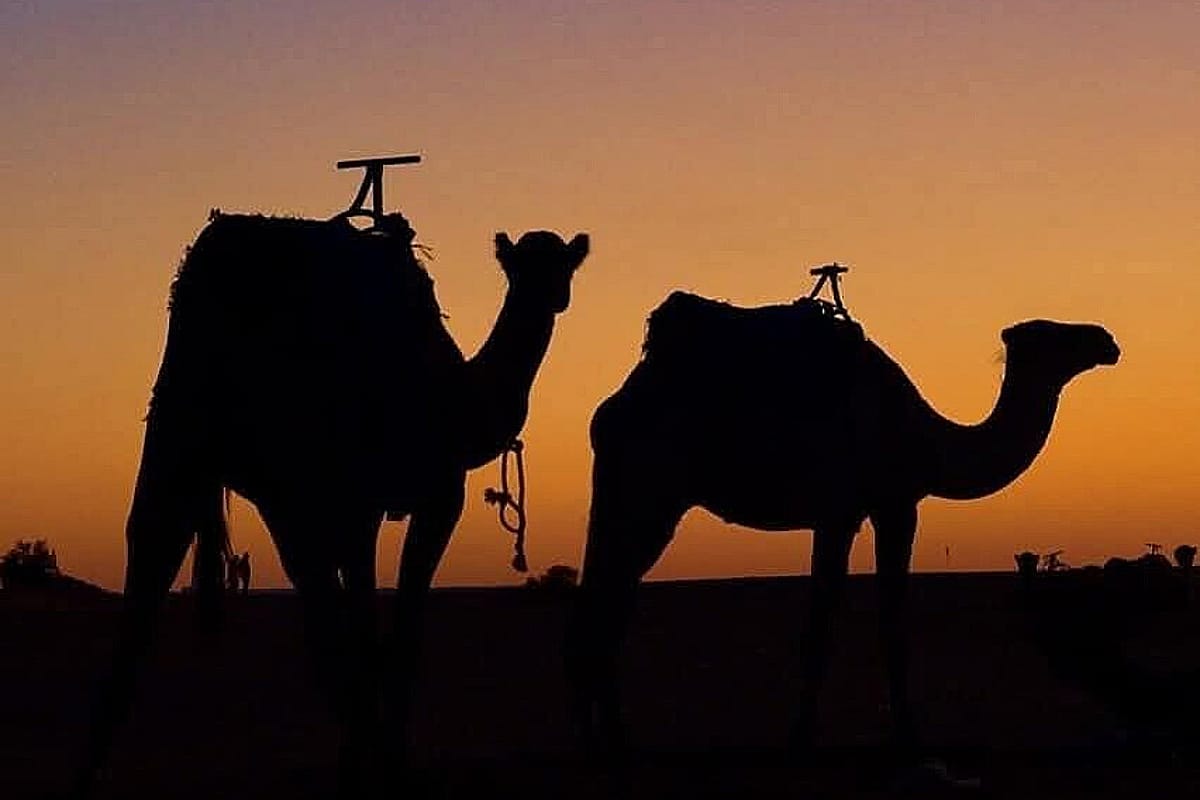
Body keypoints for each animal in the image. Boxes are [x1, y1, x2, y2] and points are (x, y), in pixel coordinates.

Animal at [77, 212, 588, 795]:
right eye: (520, 267)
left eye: (562, 262)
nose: (554, 294)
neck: (462, 400)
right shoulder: (430, 493)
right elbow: (396, 636)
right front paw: (389, 761)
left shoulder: (351, 509)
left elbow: (365, 630)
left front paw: (365, 756)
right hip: (293, 462)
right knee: (316, 624)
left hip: (185, 432)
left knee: (152, 550)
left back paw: (90, 771)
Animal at [566, 291, 1119, 755]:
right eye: (1051, 332)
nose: (1105, 339)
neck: (928, 439)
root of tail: (616, 405)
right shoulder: (880, 507)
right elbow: (867, 625)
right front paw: (883, 735)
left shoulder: (854, 512)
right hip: (649, 489)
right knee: (607, 594)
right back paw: (605, 738)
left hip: (626, 491)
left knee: (606, 593)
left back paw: (604, 736)